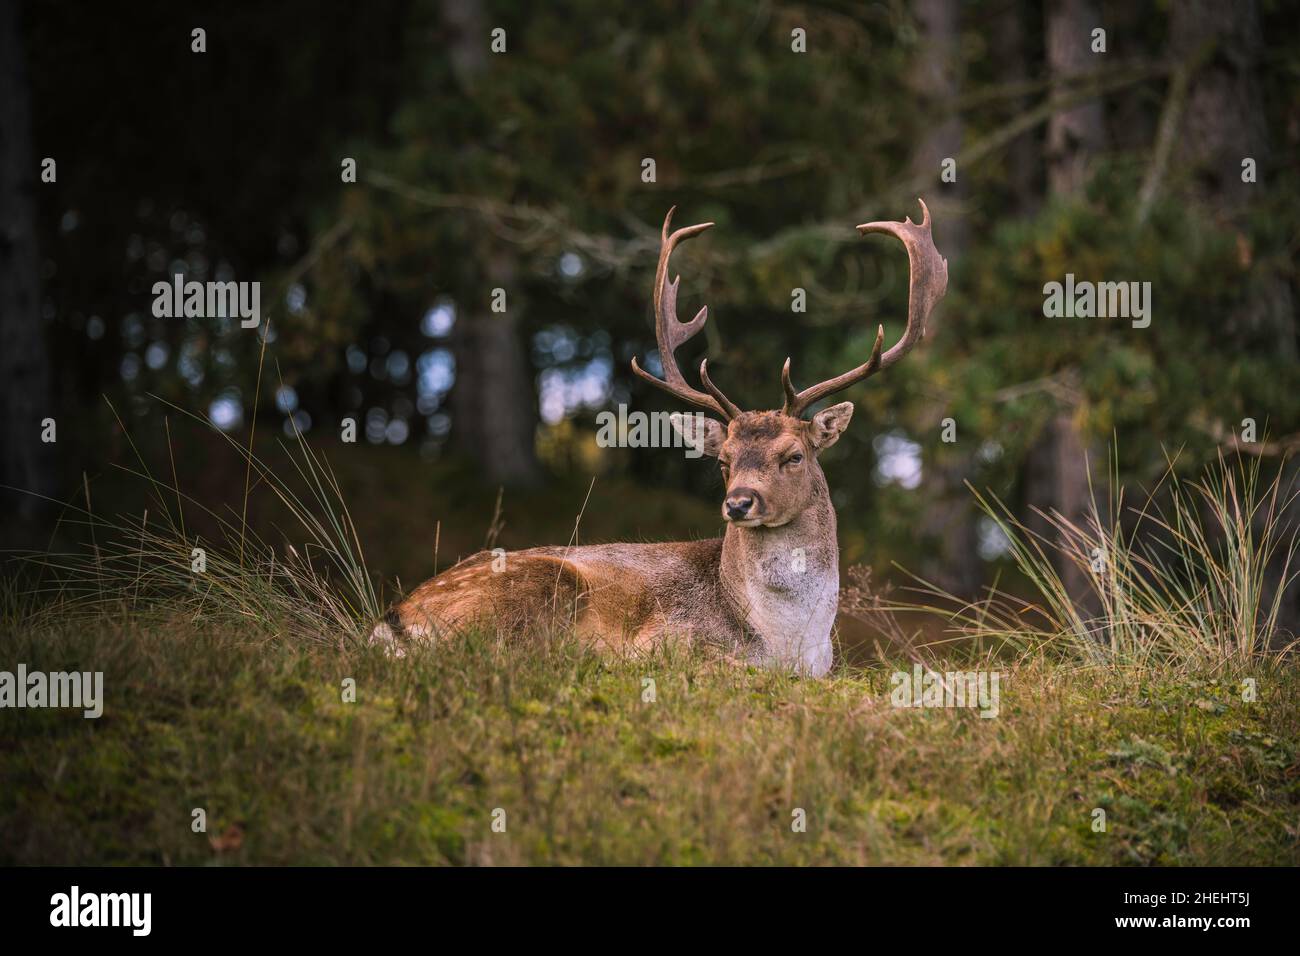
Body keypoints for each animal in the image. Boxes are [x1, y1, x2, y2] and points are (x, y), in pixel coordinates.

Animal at [370, 200, 948, 676]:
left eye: (794, 456)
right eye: (724, 459)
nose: (738, 503)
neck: (787, 641)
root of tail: (395, 618)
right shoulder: (673, 638)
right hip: (538, 591)